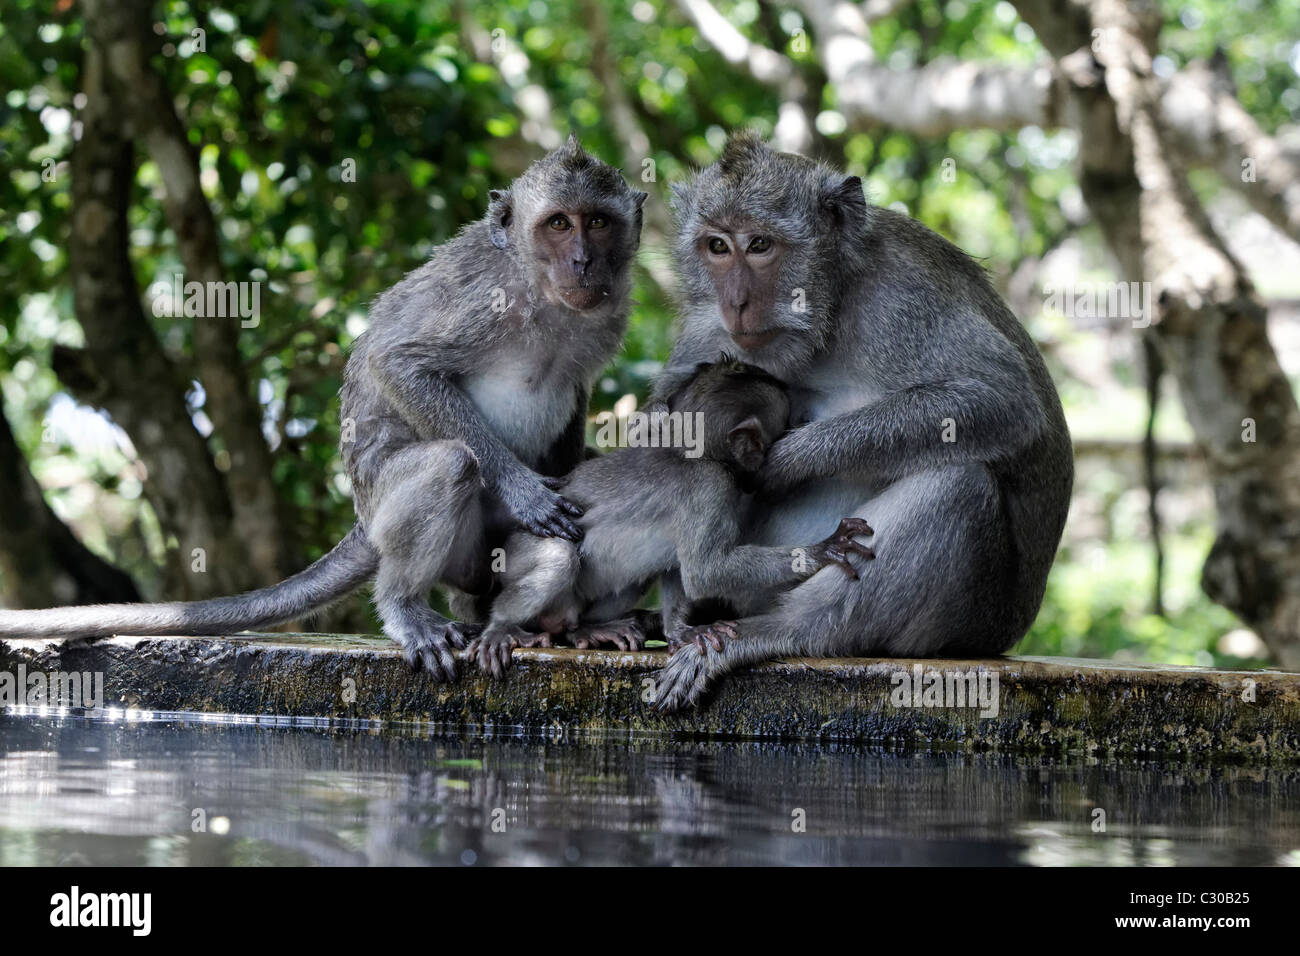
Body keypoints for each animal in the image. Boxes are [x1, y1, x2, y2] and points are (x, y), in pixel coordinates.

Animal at [0, 136, 648, 683]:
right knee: (449, 464)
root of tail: (365, 522)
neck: (538, 290)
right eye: (558, 224)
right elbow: (399, 363)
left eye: (597, 222)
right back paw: (408, 609)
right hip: (407, 517)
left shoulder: (610, 314)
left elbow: (576, 398)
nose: (583, 261)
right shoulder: (481, 296)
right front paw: (525, 491)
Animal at [463, 357, 874, 678]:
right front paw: (821, 550)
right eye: (785, 425)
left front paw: (679, 631)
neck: (691, 451)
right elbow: (705, 571)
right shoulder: (711, 486)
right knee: (558, 558)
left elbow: (678, 565)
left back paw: (583, 631)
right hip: (515, 553)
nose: (794, 430)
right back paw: (499, 628)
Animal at [647, 131, 1074, 711]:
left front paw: (788, 460)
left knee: (958, 483)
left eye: (759, 245)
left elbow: (999, 399)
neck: (829, 309)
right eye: (717, 247)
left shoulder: (904, 298)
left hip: (972, 623)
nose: (736, 303)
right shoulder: (705, 329)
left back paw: (780, 632)